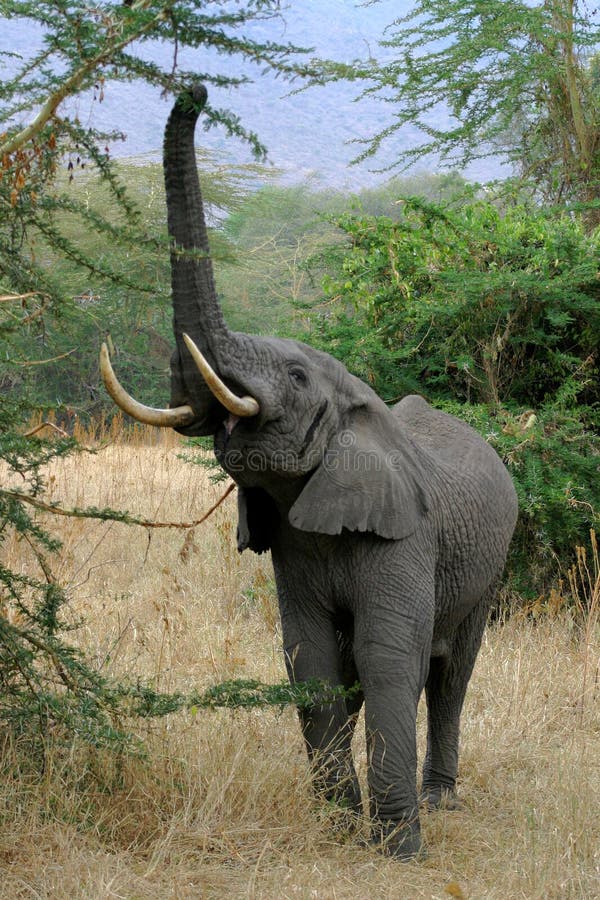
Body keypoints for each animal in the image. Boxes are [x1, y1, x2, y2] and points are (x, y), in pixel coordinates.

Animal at [100, 85, 518, 859]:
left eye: (295, 377)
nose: (197, 89)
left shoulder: (407, 538)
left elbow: (389, 656)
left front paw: (397, 851)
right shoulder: (294, 542)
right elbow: (311, 657)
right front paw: (337, 829)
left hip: (490, 561)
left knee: (452, 674)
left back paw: (440, 800)